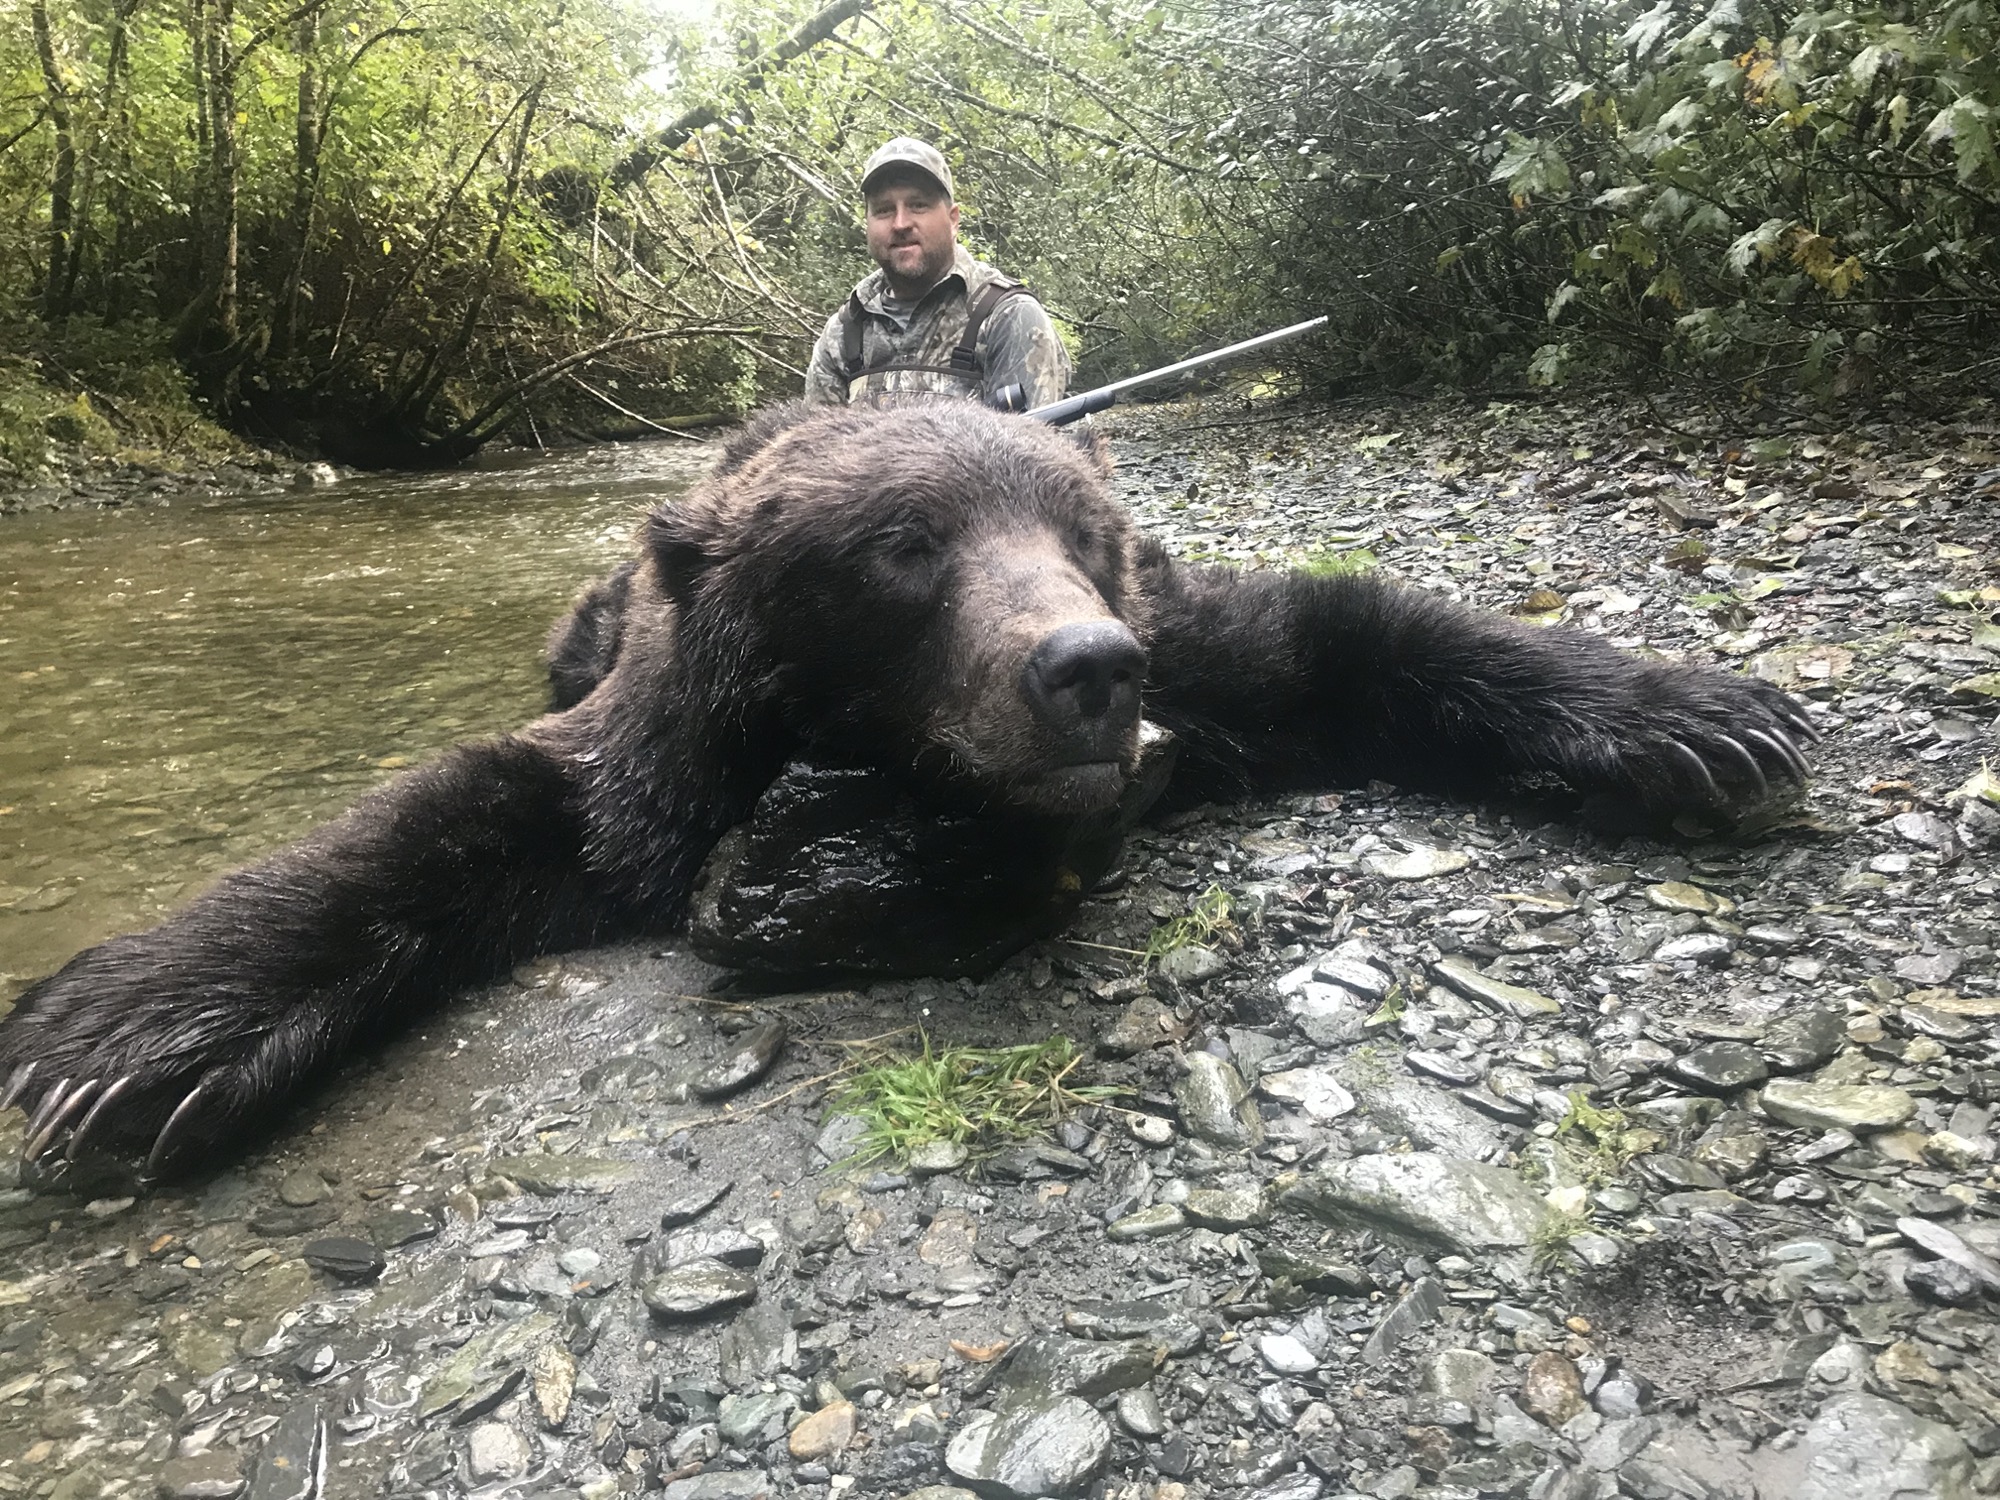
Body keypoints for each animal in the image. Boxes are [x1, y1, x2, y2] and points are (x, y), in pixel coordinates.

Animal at [0, 401, 1818, 1180]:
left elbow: (1352, 637)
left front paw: (1695, 717)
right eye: (901, 548)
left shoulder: (1200, 654)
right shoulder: (651, 748)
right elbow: (471, 807)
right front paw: (131, 1031)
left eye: (1080, 529)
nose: (1086, 668)